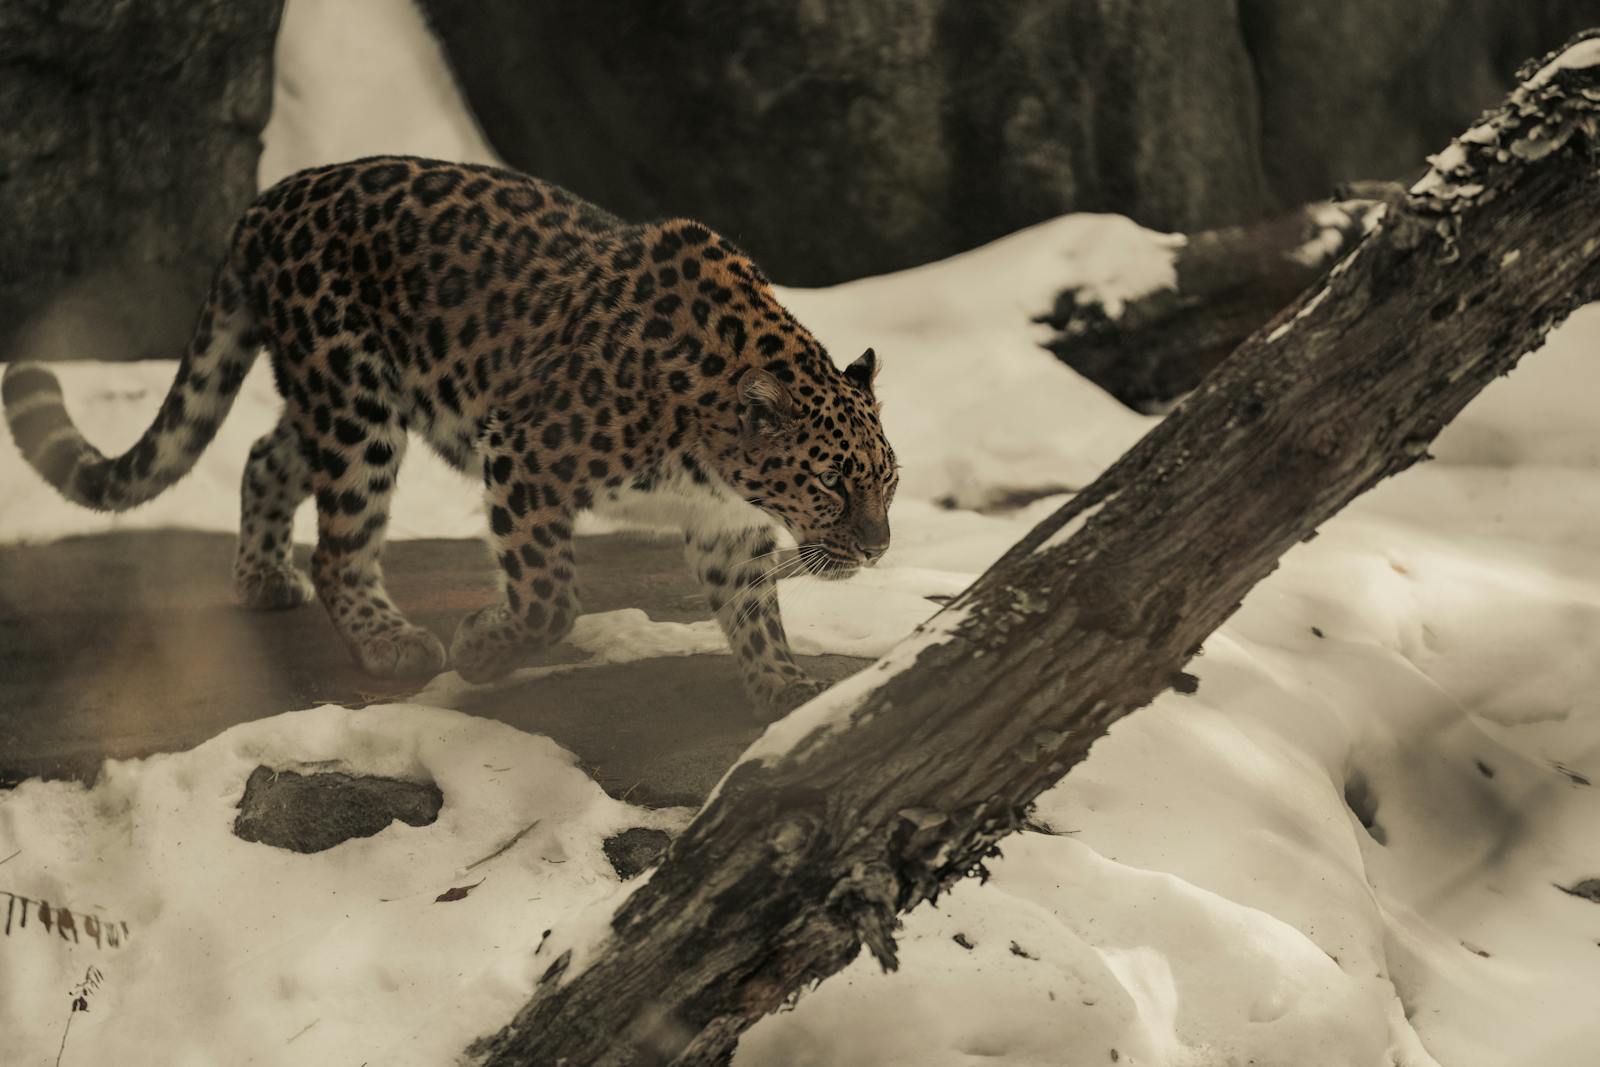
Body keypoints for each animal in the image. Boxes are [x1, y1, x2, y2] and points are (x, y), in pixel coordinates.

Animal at [3, 155, 897, 717]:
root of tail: (270, 198)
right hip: (355, 402)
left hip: (342, 396)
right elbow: (548, 595)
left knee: (265, 457)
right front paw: (483, 648)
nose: (880, 547)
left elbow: (753, 608)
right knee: (338, 546)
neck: (711, 456)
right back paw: (389, 640)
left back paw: (260, 578)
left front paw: (783, 688)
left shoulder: (725, 522)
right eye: (830, 484)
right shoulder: (526, 452)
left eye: (887, 484)